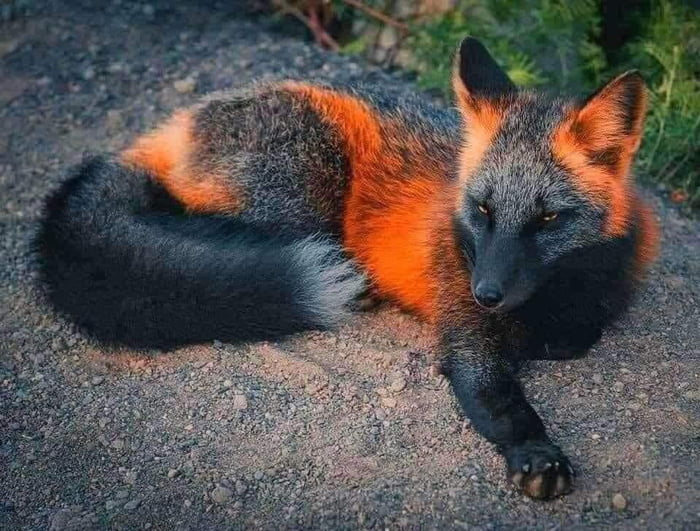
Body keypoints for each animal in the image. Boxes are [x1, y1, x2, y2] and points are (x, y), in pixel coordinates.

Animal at [37, 37, 659, 499]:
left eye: (548, 218)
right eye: (482, 210)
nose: (486, 293)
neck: (555, 293)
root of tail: (181, 119)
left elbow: (579, 333)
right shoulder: (464, 331)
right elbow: (501, 399)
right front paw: (535, 452)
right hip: (305, 191)